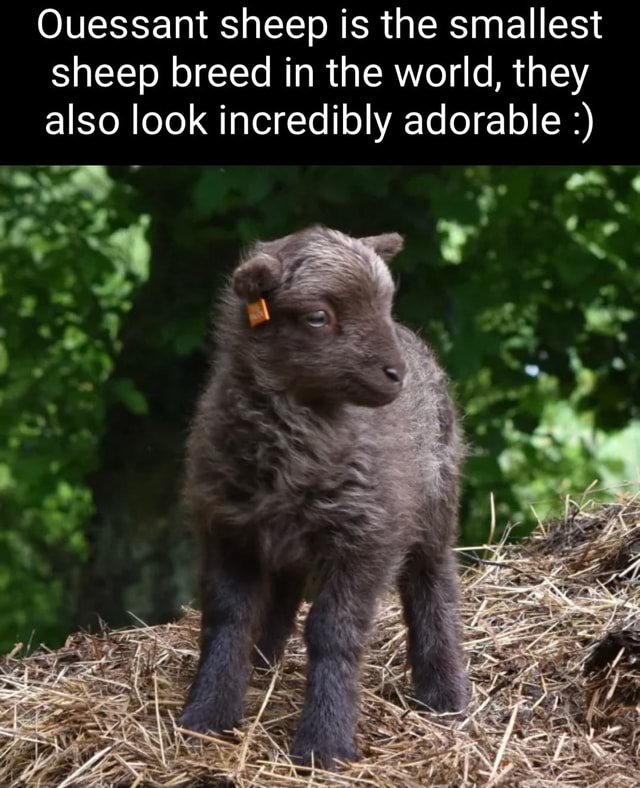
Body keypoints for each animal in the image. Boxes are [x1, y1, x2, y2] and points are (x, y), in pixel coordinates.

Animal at [178, 225, 469, 769]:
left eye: (384, 305)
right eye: (318, 316)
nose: (394, 374)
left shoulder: (367, 537)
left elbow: (333, 631)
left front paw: (325, 742)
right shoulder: (228, 529)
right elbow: (227, 616)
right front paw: (208, 714)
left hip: (436, 501)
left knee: (432, 583)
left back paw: (443, 695)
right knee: (284, 591)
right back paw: (264, 663)